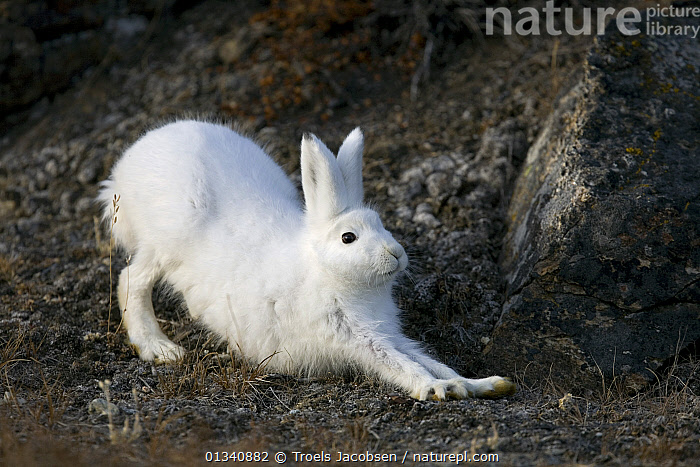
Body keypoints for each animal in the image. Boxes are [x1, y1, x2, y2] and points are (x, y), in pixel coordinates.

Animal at [98, 120, 516, 401]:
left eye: (381, 223)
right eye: (348, 238)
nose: (396, 254)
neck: (324, 271)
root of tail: (126, 166)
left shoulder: (387, 332)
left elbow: (428, 358)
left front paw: (480, 384)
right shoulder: (354, 337)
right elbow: (399, 364)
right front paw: (435, 388)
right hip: (165, 243)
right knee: (130, 280)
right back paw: (159, 348)